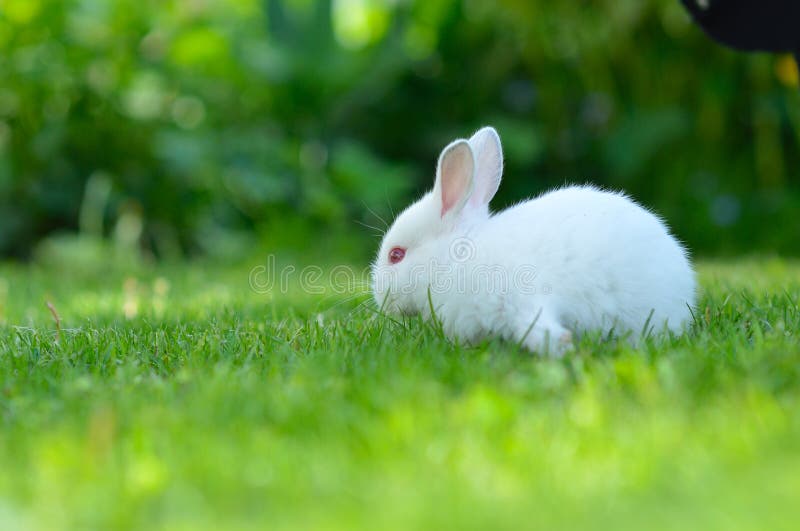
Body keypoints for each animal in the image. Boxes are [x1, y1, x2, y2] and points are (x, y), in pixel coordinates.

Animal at [371, 126, 696, 356]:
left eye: (396, 255)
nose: (380, 298)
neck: (455, 260)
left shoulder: (516, 296)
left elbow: (536, 323)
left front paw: (561, 347)